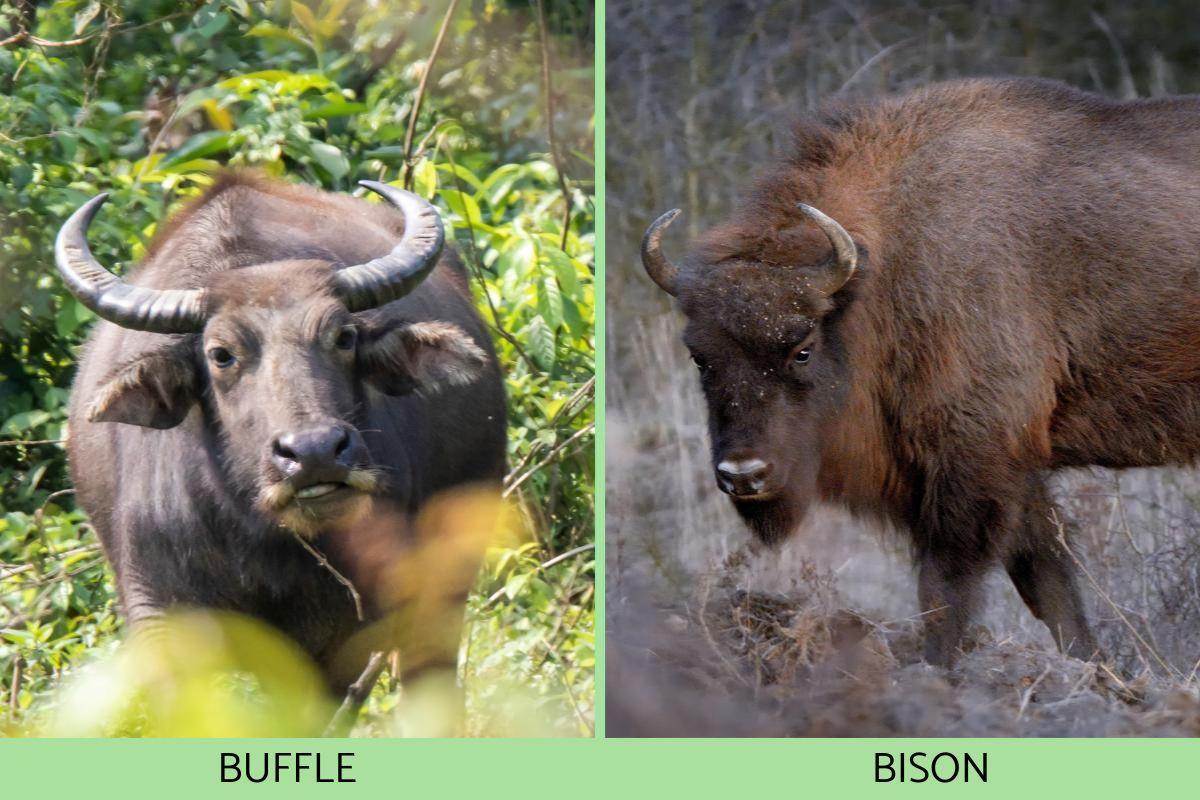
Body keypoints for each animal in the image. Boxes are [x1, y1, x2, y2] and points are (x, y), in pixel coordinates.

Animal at [641, 77, 1200, 666]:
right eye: (700, 355)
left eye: (803, 349)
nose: (744, 475)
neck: (883, 263)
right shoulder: (1009, 470)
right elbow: (1048, 582)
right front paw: (1092, 667)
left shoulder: (974, 465)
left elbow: (947, 589)